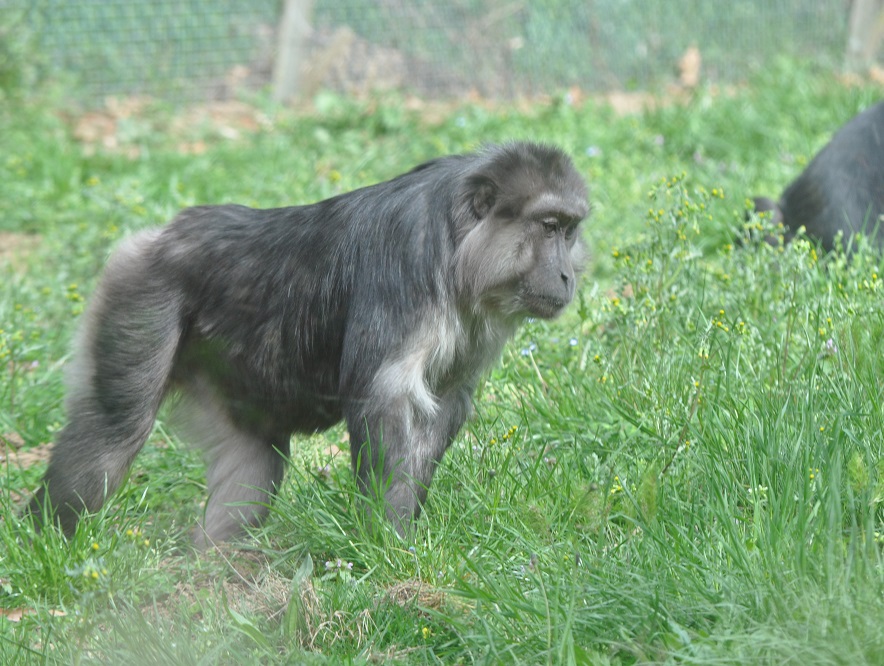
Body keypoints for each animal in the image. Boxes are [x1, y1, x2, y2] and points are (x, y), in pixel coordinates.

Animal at [25, 142, 589, 545]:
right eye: (547, 226)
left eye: (569, 231)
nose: (567, 274)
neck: (459, 248)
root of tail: (159, 236)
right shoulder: (406, 259)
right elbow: (383, 400)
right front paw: (387, 546)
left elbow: (444, 406)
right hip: (140, 297)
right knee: (114, 431)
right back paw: (46, 545)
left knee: (256, 463)